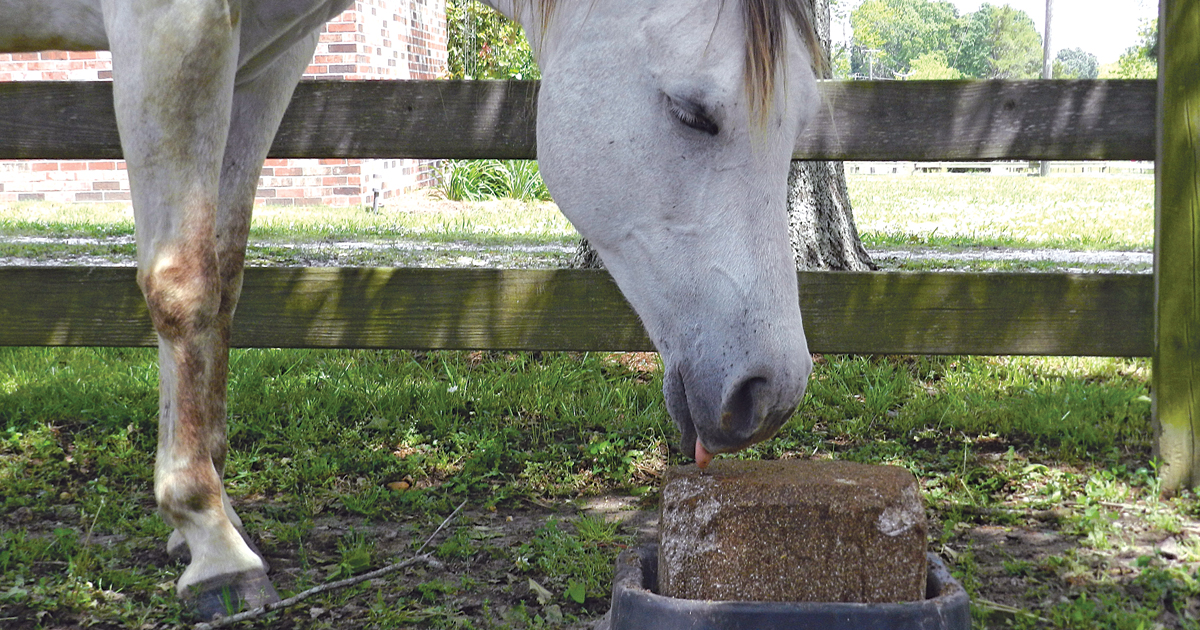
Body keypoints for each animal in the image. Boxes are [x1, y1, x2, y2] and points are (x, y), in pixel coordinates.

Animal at [2, 0, 822, 618]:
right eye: (692, 111)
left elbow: (225, 275)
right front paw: (212, 547)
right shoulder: (171, 26)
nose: (770, 394)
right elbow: (185, 283)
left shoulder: (262, 59)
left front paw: (211, 515)